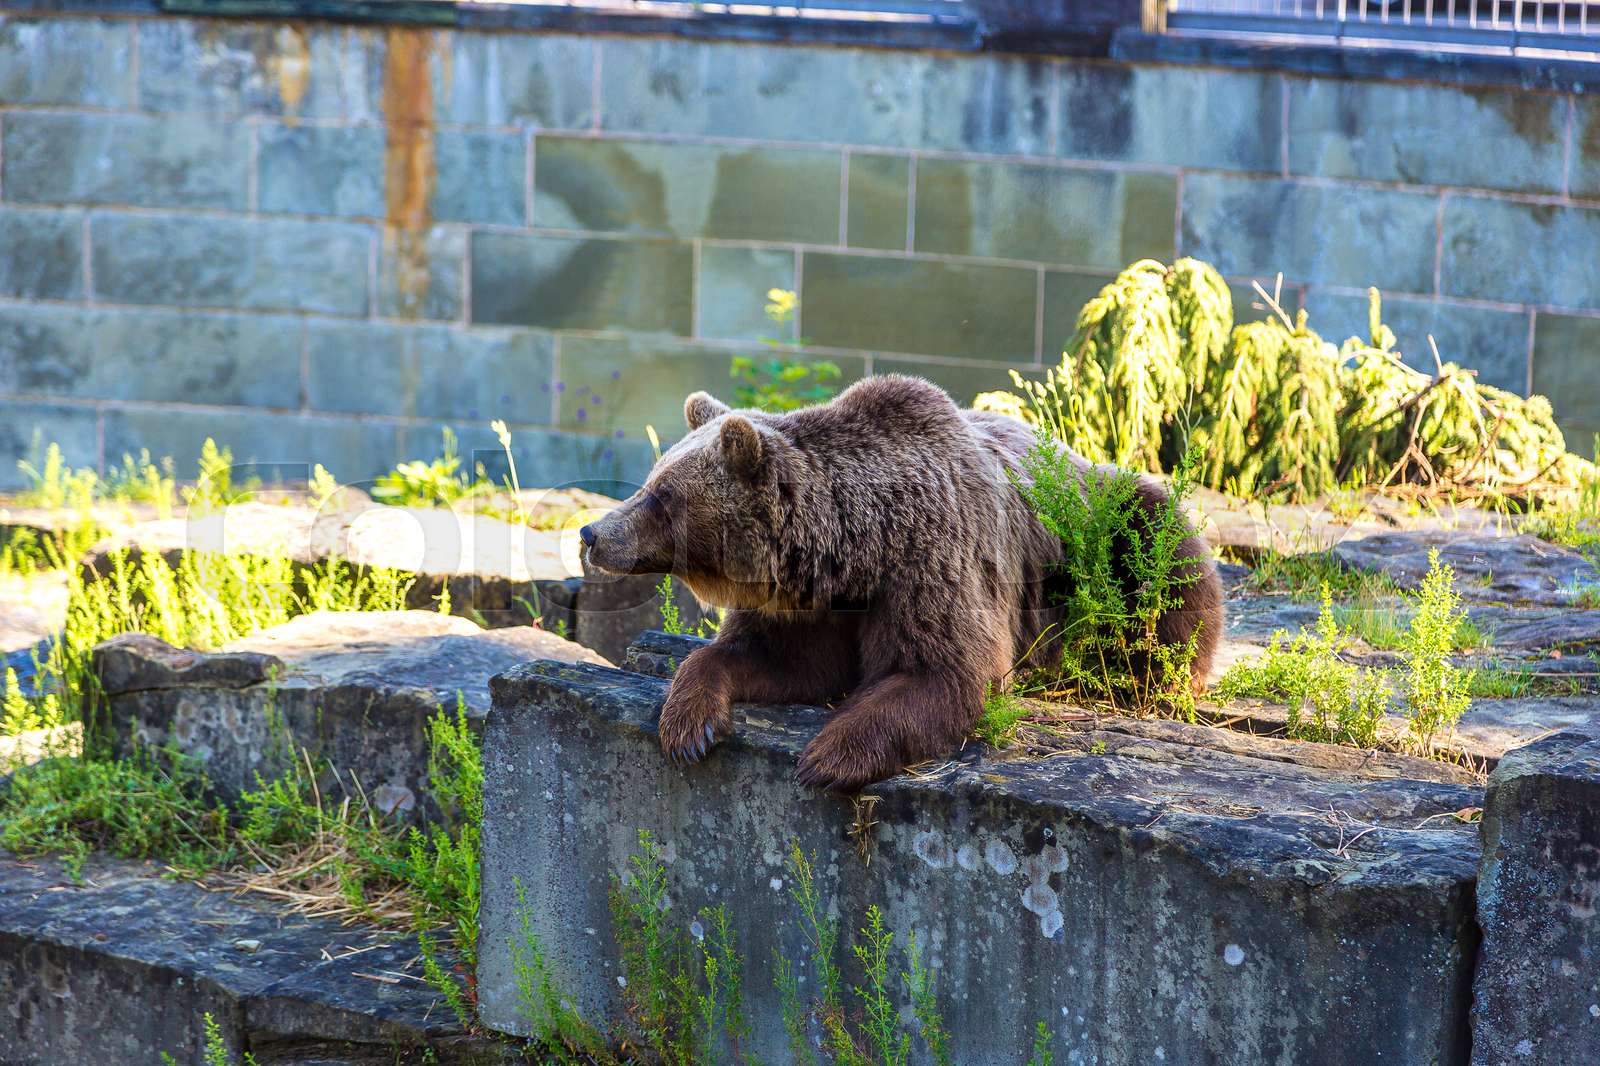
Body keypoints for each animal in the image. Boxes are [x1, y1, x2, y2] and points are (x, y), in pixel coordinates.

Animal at [579, 375, 1223, 792]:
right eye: (652, 479)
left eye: (662, 494)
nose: (591, 532)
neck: (855, 550)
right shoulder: (814, 604)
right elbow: (773, 658)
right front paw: (689, 724)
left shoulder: (932, 560)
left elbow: (944, 672)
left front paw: (827, 757)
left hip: (1108, 526)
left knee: (1166, 562)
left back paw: (1155, 676)